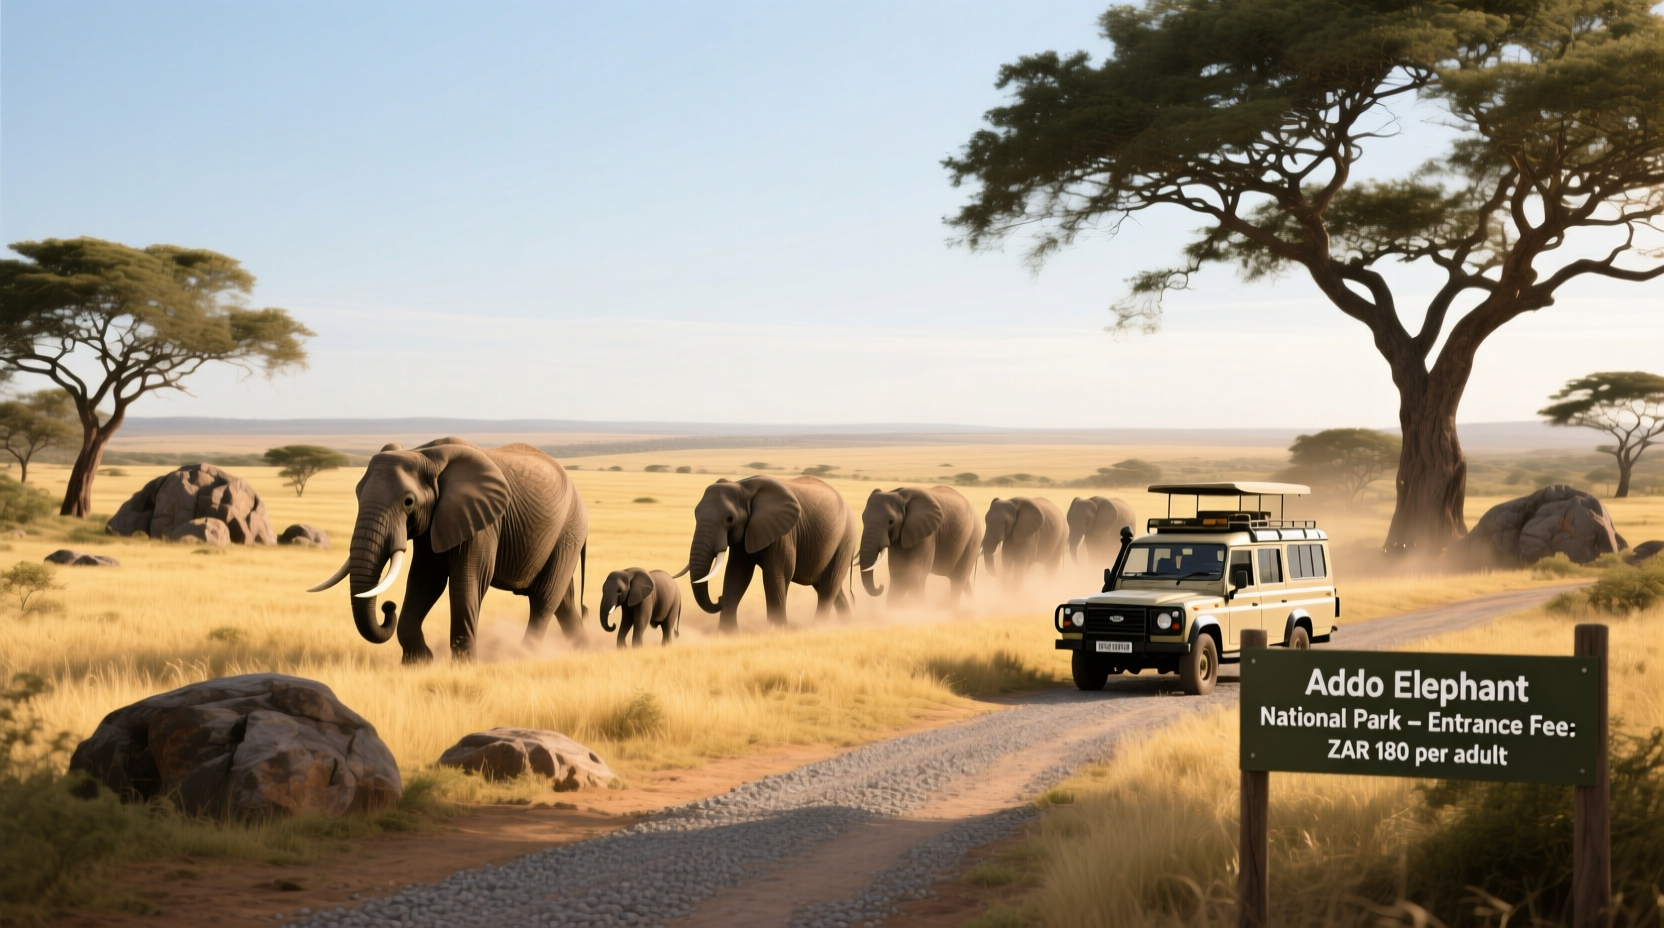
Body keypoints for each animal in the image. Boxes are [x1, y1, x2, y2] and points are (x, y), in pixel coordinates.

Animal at [309, 437, 588, 663]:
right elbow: (425, 580)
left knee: (545, 597)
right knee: (564, 601)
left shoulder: (483, 521)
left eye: (408, 502)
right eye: (357, 494)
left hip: (568, 531)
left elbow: (467, 581)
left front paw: (464, 666)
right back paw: (584, 652)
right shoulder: (434, 521)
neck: (424, 454)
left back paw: (523, 656)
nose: (388, 607)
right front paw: (418, 663)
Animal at [678, 475, 857, 631]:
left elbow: (776, 574)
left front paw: (778, 631)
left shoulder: (782, 533)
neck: (743, 486)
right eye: (695, 514)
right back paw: (847, 624)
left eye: (730, 518)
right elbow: (737, 573)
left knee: (828, 587)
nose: (720, 599)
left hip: (845, 540)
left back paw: (818, 628)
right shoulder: (745, 533)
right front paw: (728, 634)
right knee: (830, 588)